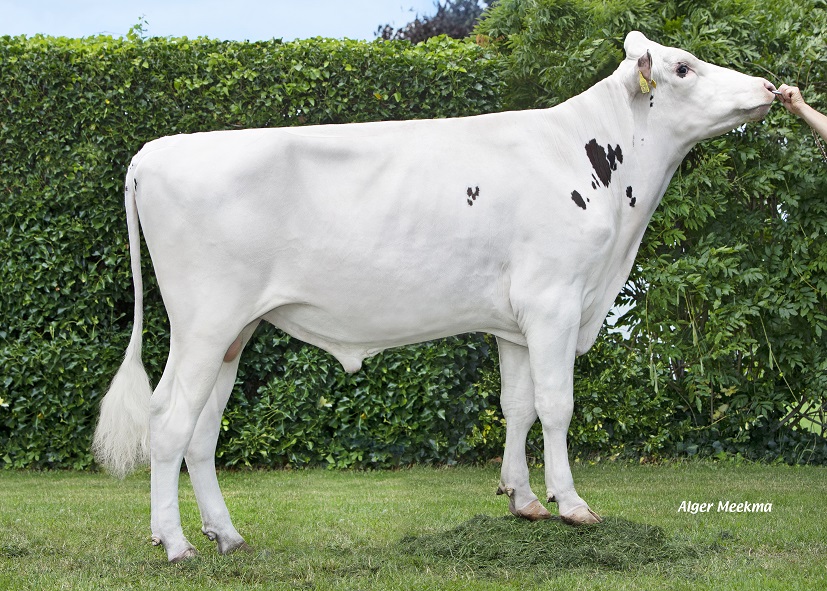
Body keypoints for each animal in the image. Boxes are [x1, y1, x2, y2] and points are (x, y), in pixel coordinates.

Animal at [93, 31, 778, 562]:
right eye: (684, 67)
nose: (772, 87)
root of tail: (152, 152)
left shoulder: (515, 322)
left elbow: (517, 407)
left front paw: (523, 499)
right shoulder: (554, 301)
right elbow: (556, 407)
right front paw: (572, 504)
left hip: (234, 332)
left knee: (202, 430)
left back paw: (227, 536)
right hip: (203, 321)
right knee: (168, 419)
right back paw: (175, 543)